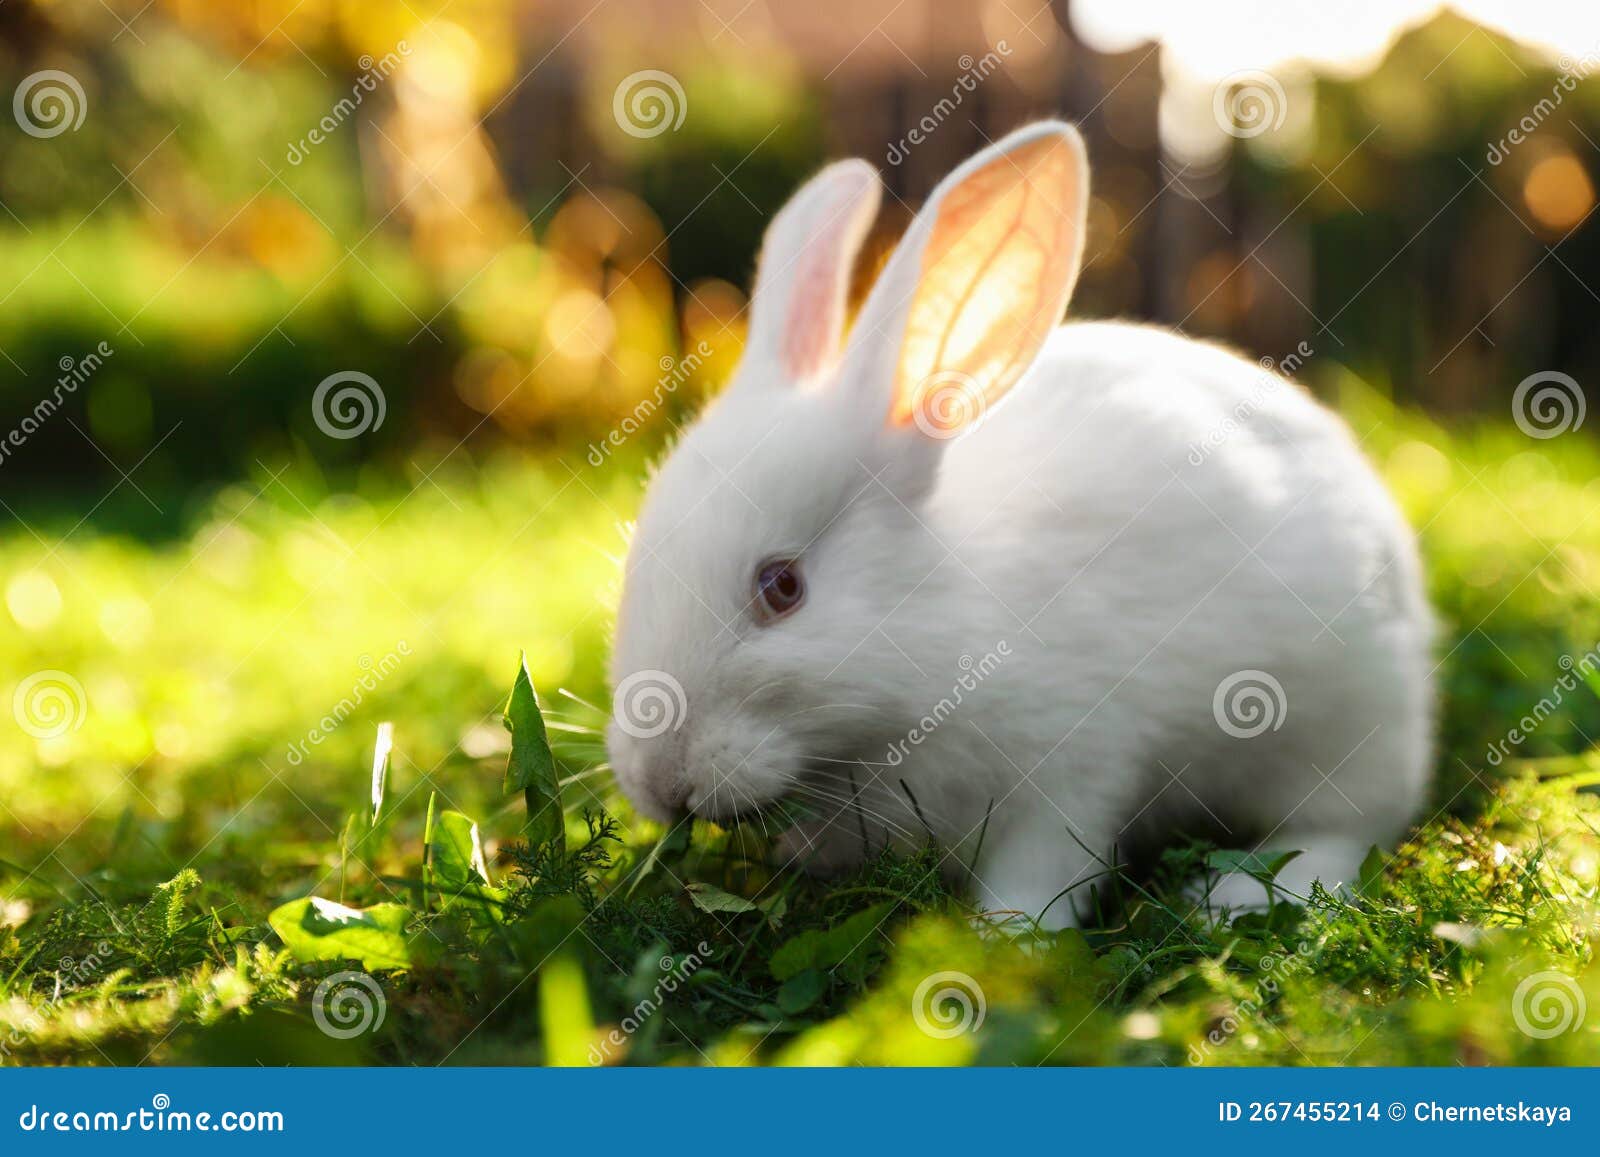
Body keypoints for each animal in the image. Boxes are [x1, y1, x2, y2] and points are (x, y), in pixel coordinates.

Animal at [606, 121, 1434, 929]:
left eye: (782, 587)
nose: (659, 780)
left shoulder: (1074, 766)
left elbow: (1045, 868)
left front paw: (1000, 937)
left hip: (1343, 726)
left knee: (1346, 827)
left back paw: (1241, 894)